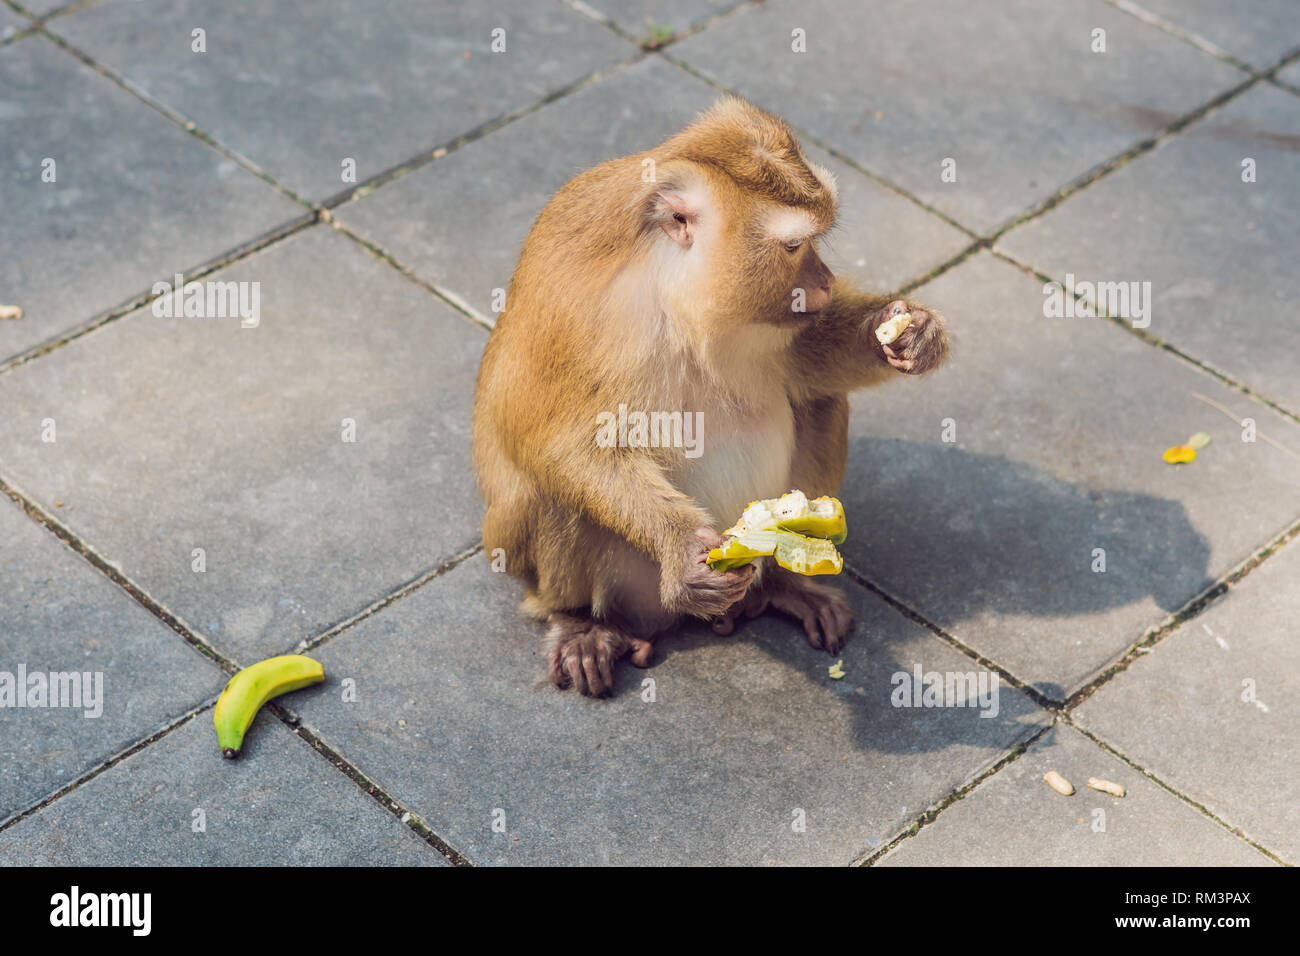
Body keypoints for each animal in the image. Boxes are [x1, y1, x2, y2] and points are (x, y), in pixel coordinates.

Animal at [472, 96, 948, 696]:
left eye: (814, 242)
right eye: (795, 245)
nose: (823, 280)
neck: (669, 290)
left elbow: (808, 358)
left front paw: (910, 333)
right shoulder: (582, 319)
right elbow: (557, 443)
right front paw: (679, 548)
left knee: (820, 401)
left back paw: (783, 584)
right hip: (611, 583)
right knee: (548, 490)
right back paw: (580, 622)